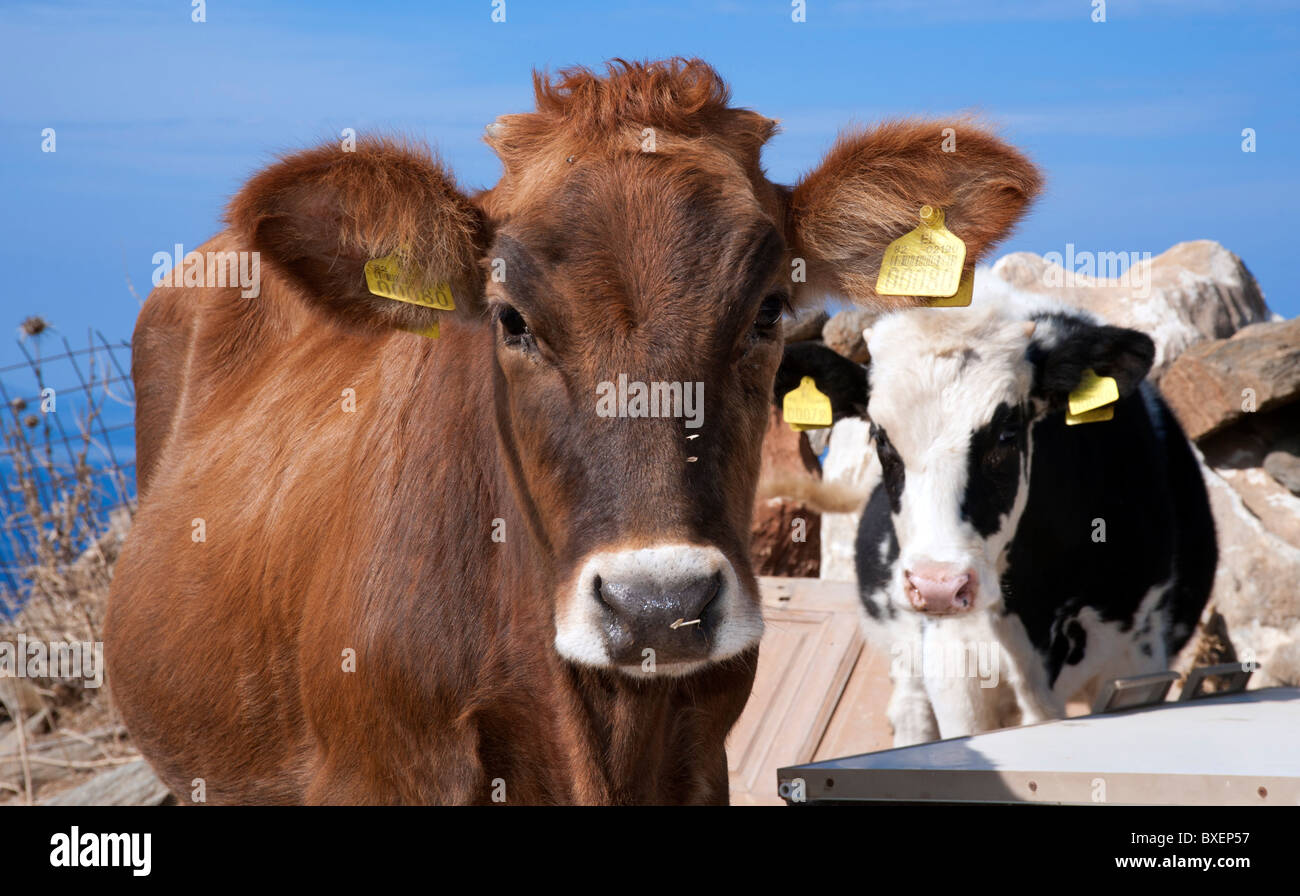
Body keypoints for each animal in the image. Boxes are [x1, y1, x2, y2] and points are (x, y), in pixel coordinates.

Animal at [776, 294, 1217, 745]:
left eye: (1008, 433)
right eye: (881, 439)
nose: (937, 586)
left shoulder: (1137, 663)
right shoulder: (953, 663)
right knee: (909, 710)